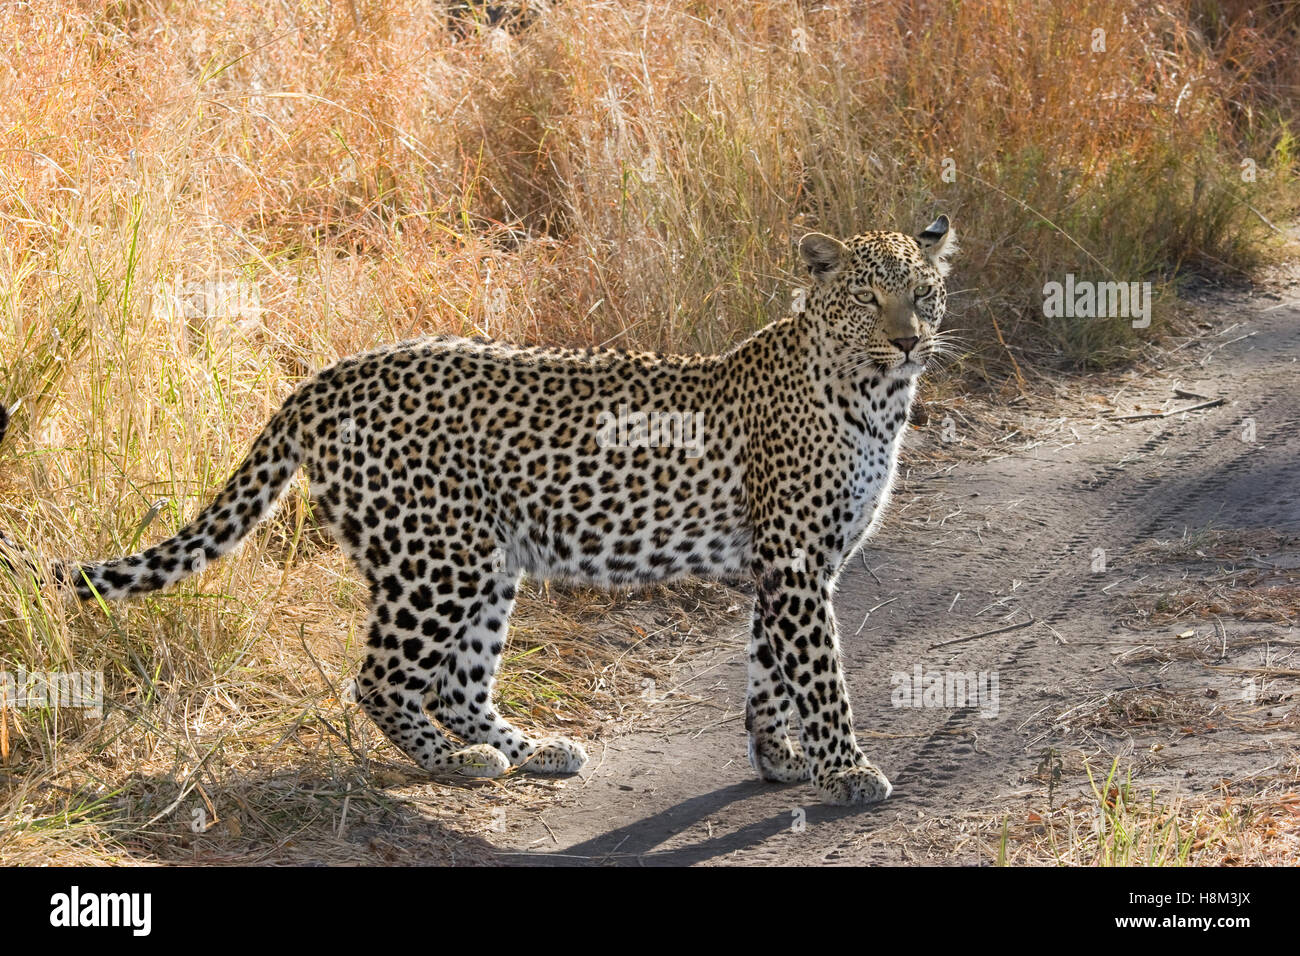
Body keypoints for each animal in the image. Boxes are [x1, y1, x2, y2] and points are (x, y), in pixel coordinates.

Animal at [0, 216, 957, 805]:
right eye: (867, 297)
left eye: (924, 293)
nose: (910, 339)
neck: (878, 397)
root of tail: (324, 378)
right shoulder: (795, 561)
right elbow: (820, 676)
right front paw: (848, 769)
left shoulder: (784, 565)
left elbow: (770, 671)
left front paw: (780, 758)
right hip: (435, 560)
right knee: (382, 679)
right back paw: (459, 764)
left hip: (485, 559)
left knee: (457, 682)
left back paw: (529, 748)